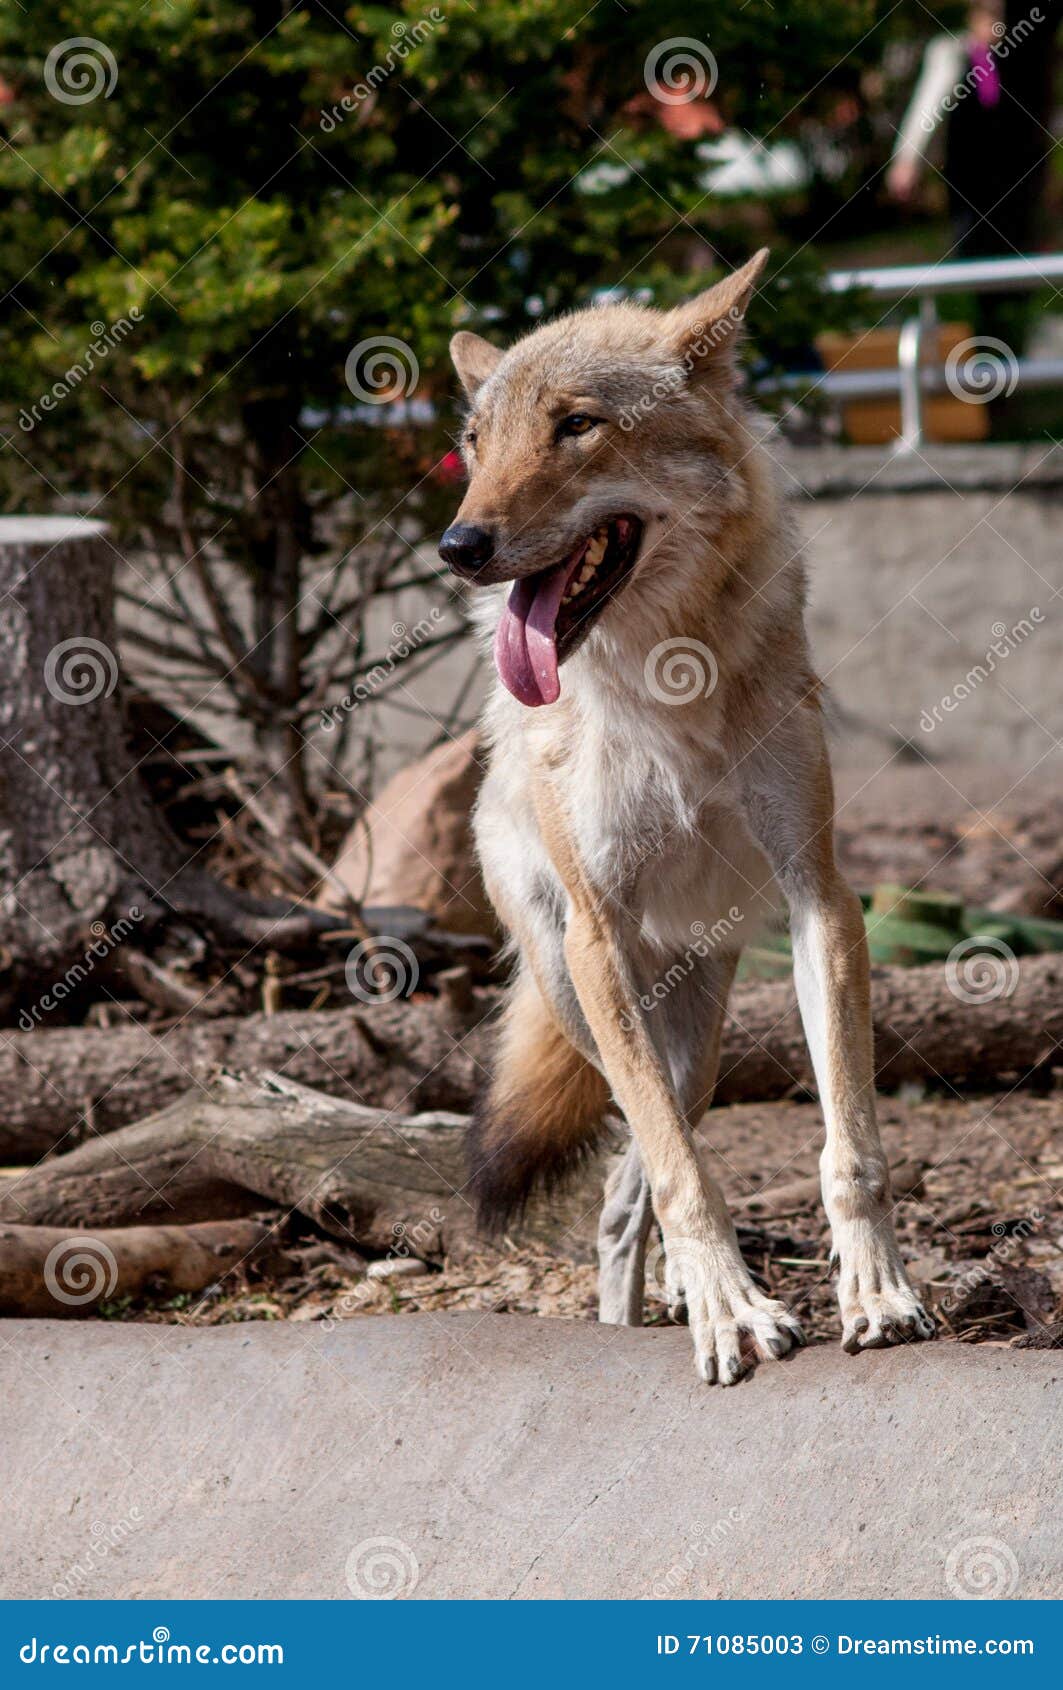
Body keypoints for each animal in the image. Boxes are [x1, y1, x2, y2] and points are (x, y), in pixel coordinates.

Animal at [438, 249, 934, 1384]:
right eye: (475, 444)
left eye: (576, 425)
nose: (458, 542)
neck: (662, 677)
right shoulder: (600, 932)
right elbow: (680, 1170)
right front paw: (732, 1313)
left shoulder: (820, 896)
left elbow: (849, 1144)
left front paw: (875, 1293)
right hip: (583, 992)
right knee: (640, 1169)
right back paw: (655, 1311)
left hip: (700, 1032)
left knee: (632, 1181)